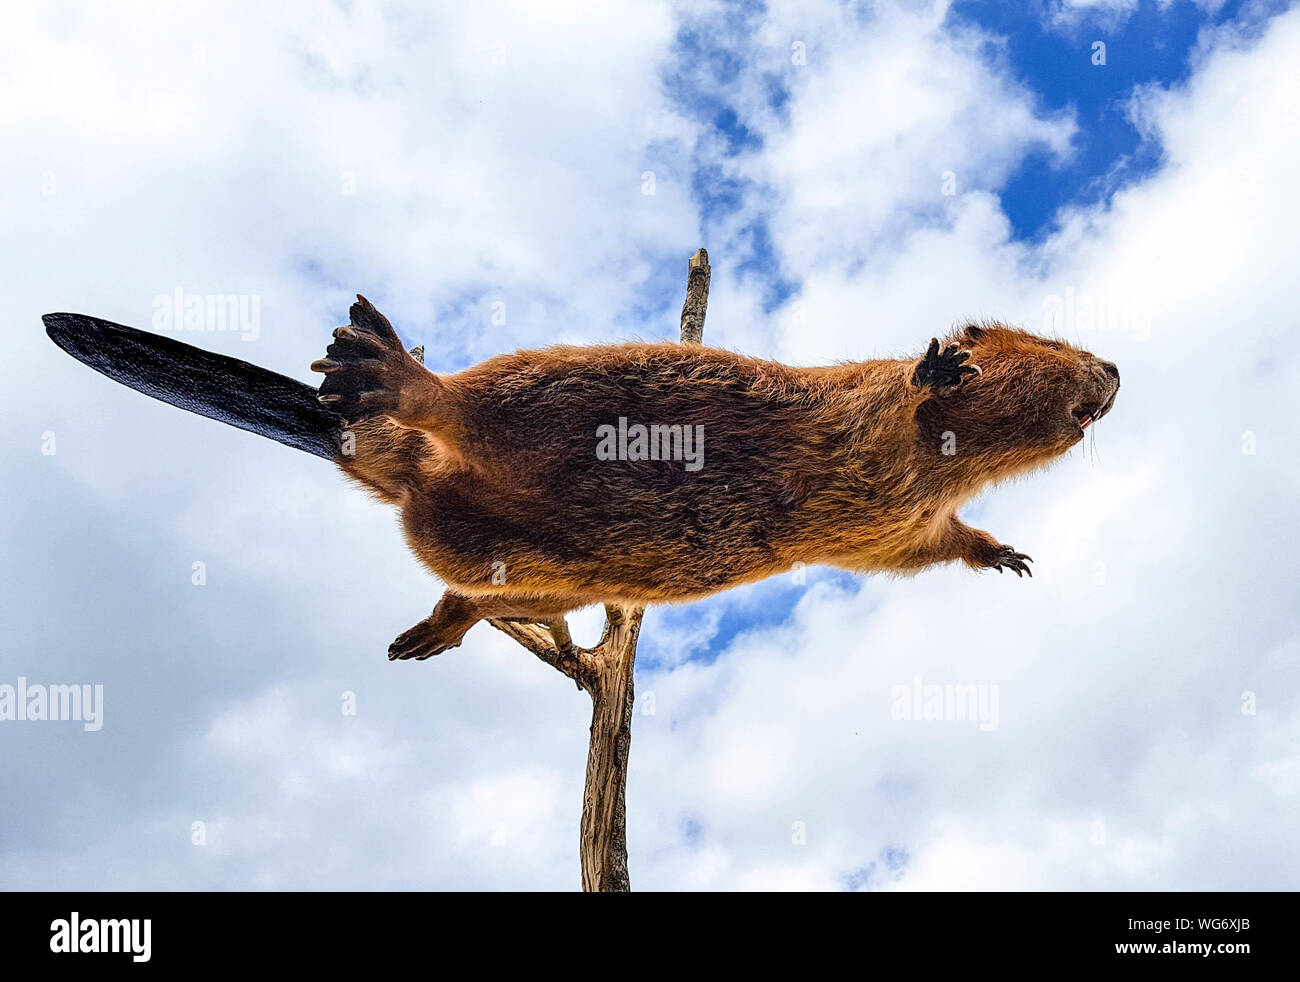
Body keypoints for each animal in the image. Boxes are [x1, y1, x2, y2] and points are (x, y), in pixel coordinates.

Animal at [44, 297, 1119, 661]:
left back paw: (428, 635)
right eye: (1050, 343)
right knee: (462, 407)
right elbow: (893, 399)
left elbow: (936, 547)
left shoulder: (898, 530)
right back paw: (380, 366)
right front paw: (942, 369)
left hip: (544, 572)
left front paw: (1007, 555)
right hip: (552, 389)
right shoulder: (844, 410)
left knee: (473, 587)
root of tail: (388, 467)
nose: (1111, 373)